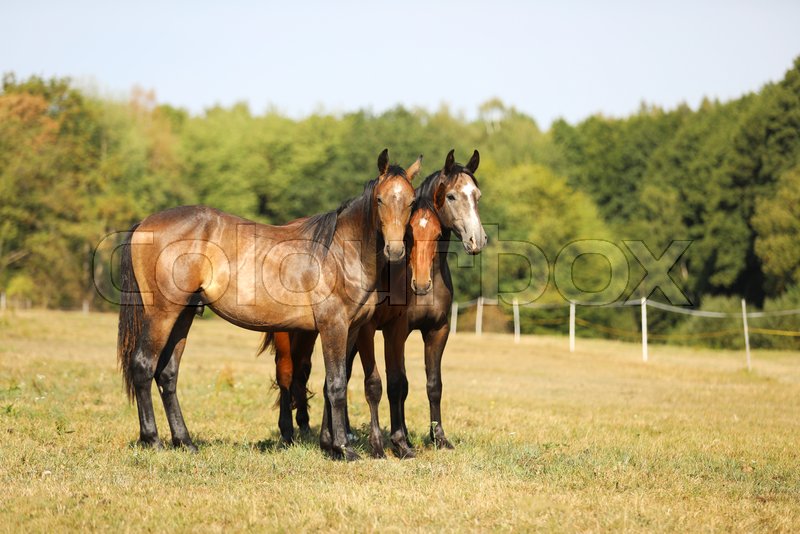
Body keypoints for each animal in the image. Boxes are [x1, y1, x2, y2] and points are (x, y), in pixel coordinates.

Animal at [116, 149, 420, 460]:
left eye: (411, 202)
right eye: (380, 199)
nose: (395, 250)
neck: (341, 252)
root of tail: (144, 225)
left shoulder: (353, 330)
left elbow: (331, 384)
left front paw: (329, 444)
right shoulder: (333, 327)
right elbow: (336, 386)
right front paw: (343, 449)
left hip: (183, 315)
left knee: (167, 374)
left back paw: (185, 441)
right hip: (162, 314)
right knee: (143, 366)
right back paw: (152, 439)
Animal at [266, 198, 443, 457]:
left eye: (438, 234)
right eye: (409, 235)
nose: (421, 283)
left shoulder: (393, 328)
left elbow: (392, 381)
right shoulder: (365, 329)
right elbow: (372, 383)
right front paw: (375, 445)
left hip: (307, 334)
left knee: (302, 371)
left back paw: (305, 426)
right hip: (284, 333)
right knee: (286, 374)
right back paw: (287, 432)